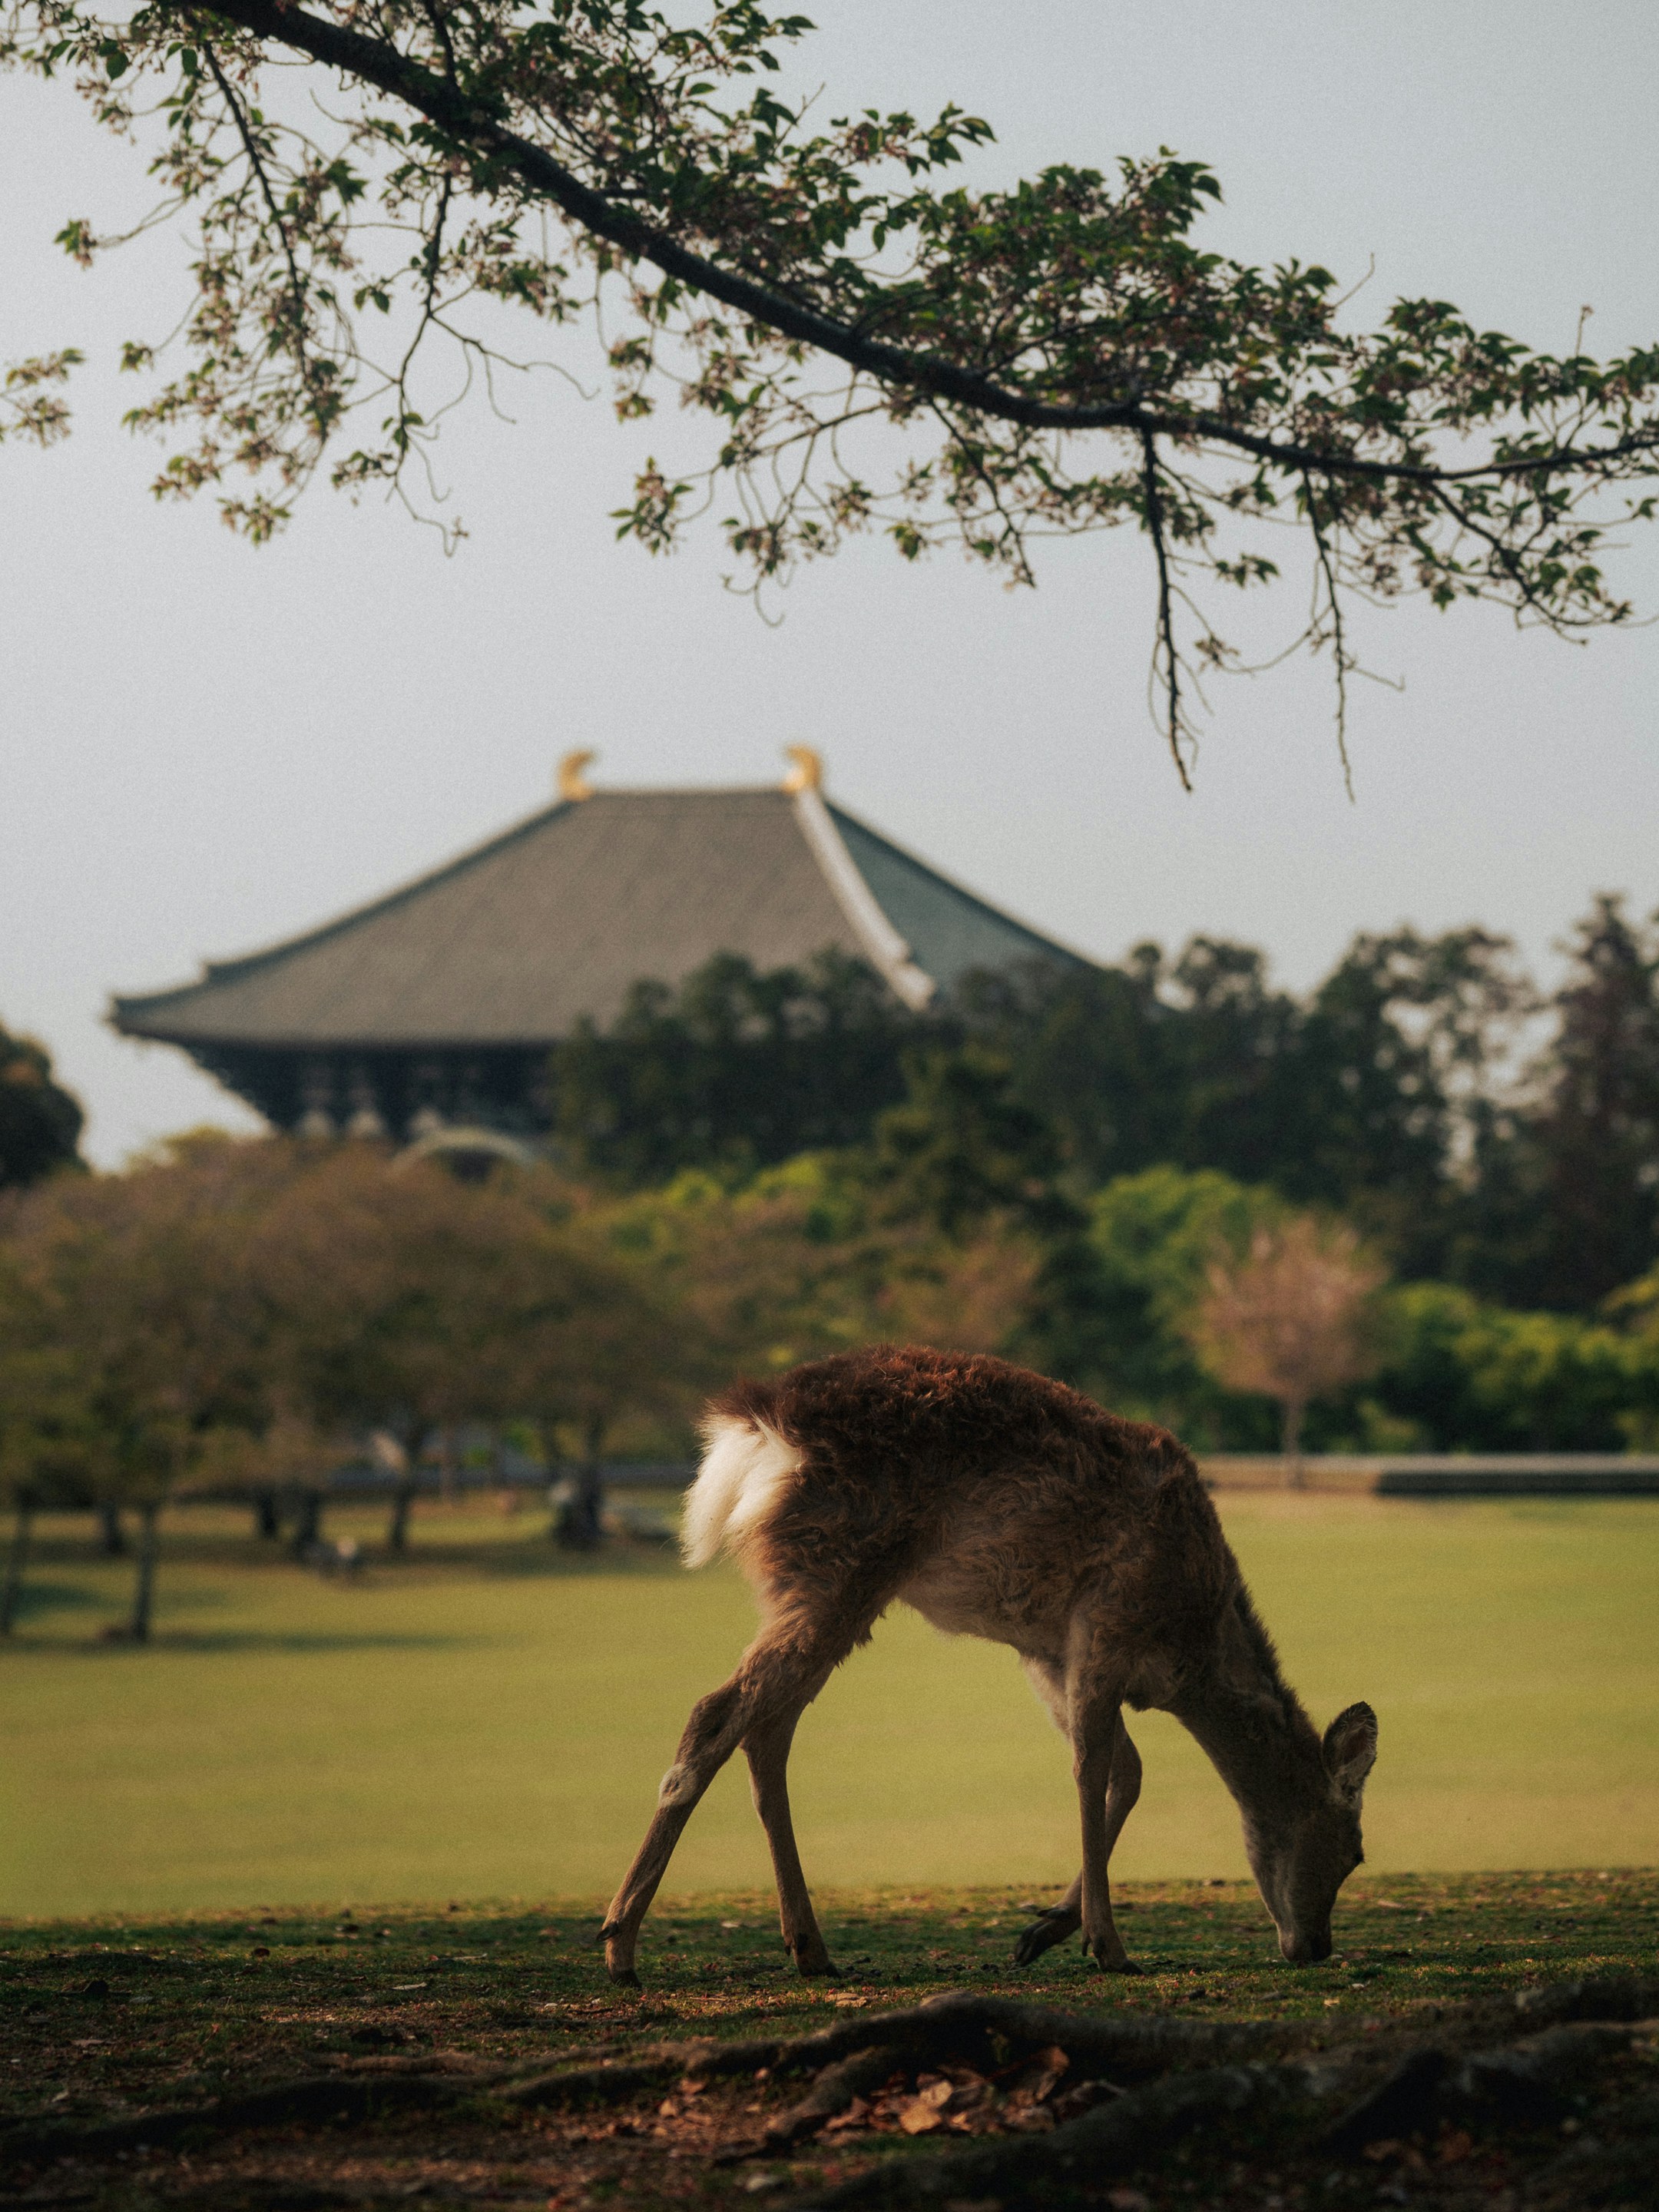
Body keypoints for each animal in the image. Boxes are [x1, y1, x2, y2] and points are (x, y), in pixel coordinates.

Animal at [602, 1345, 1377, 1987]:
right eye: (1353, 1851)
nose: (1316, 1946)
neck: (1193, 1649)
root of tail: (754, 1421)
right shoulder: (1105, 1622)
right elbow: (1096, 1768)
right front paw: (1107, 1945)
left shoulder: (1047, 1652)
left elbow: (1124, 1773)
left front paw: (1045, 1930)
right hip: (837, 1564)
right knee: (718, 1711)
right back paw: (620, 1944)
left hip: (812, 1587)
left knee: (767, 1733)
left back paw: (810, 1949)